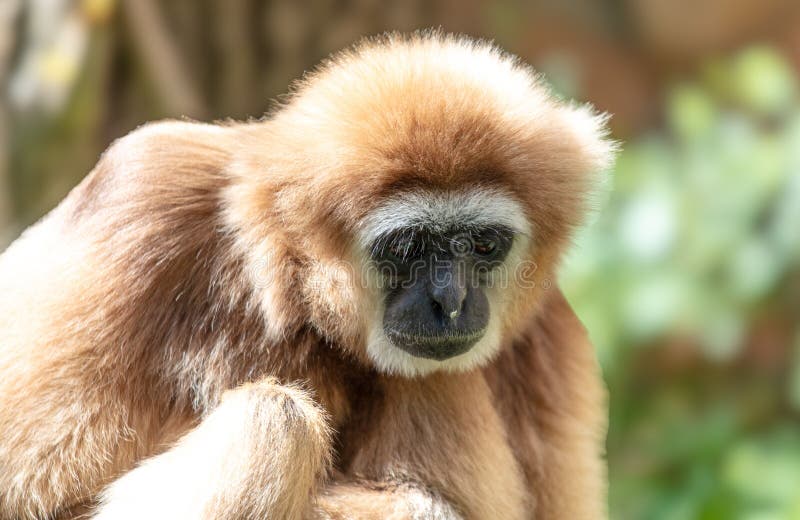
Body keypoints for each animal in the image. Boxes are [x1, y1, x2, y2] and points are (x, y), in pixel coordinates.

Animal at [0, 32, 614, 519]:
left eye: (484, 244)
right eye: (407, 247)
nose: (451, 301)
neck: (289, 298)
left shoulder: (548, 335)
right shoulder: (147, 192)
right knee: (275, 422)